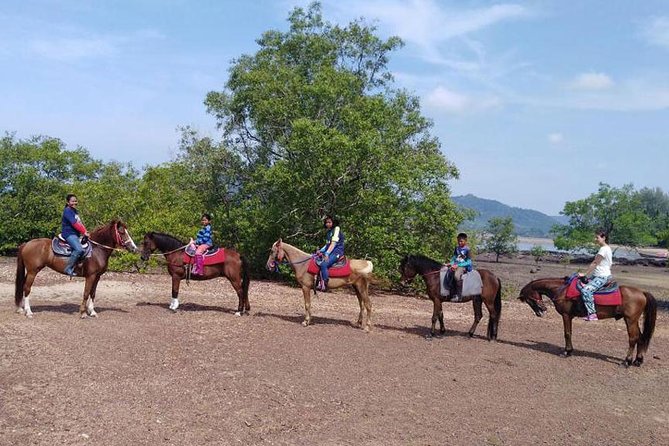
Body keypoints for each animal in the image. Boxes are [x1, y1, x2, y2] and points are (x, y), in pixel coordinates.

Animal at [518, 277, 657, 366]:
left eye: (528, 300)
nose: (540, 312)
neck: (562, 290)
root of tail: (642, 292)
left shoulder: (566, 315)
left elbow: (567, 333)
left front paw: (567, 352)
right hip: (633, 320)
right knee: (641, 337)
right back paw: (638, 360)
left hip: (630, 320)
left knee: (633, 338)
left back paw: (627, 361)